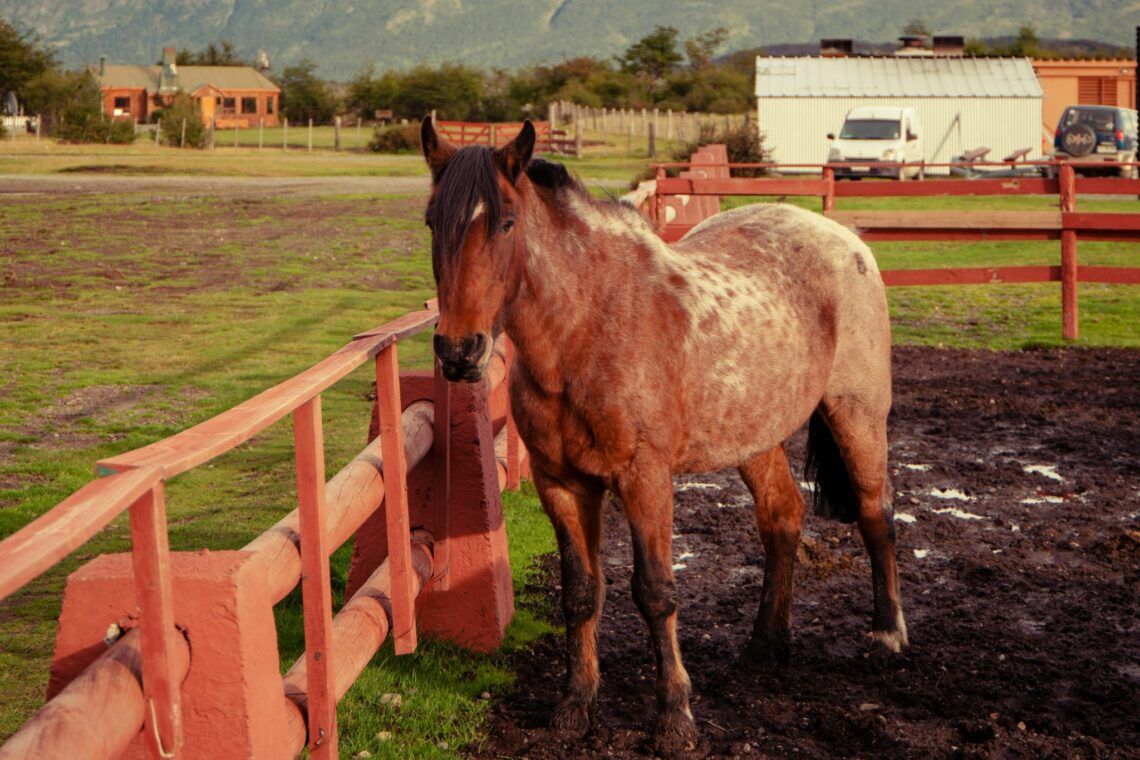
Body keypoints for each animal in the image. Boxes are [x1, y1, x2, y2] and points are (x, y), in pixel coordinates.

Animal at [420, 118, 907, 754]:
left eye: (505, 222)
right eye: (432, 222)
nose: (459, 352)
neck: (587, 329)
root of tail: (844, 239)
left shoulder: (645, 478)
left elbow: (655, 591)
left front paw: (675, 717)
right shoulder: (562, 485)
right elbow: (581, 593)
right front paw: (575, 706)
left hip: (858, 415)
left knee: (876, 514)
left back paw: (888, 636)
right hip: (755, 437)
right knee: (782, 517)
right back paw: (765, 645)